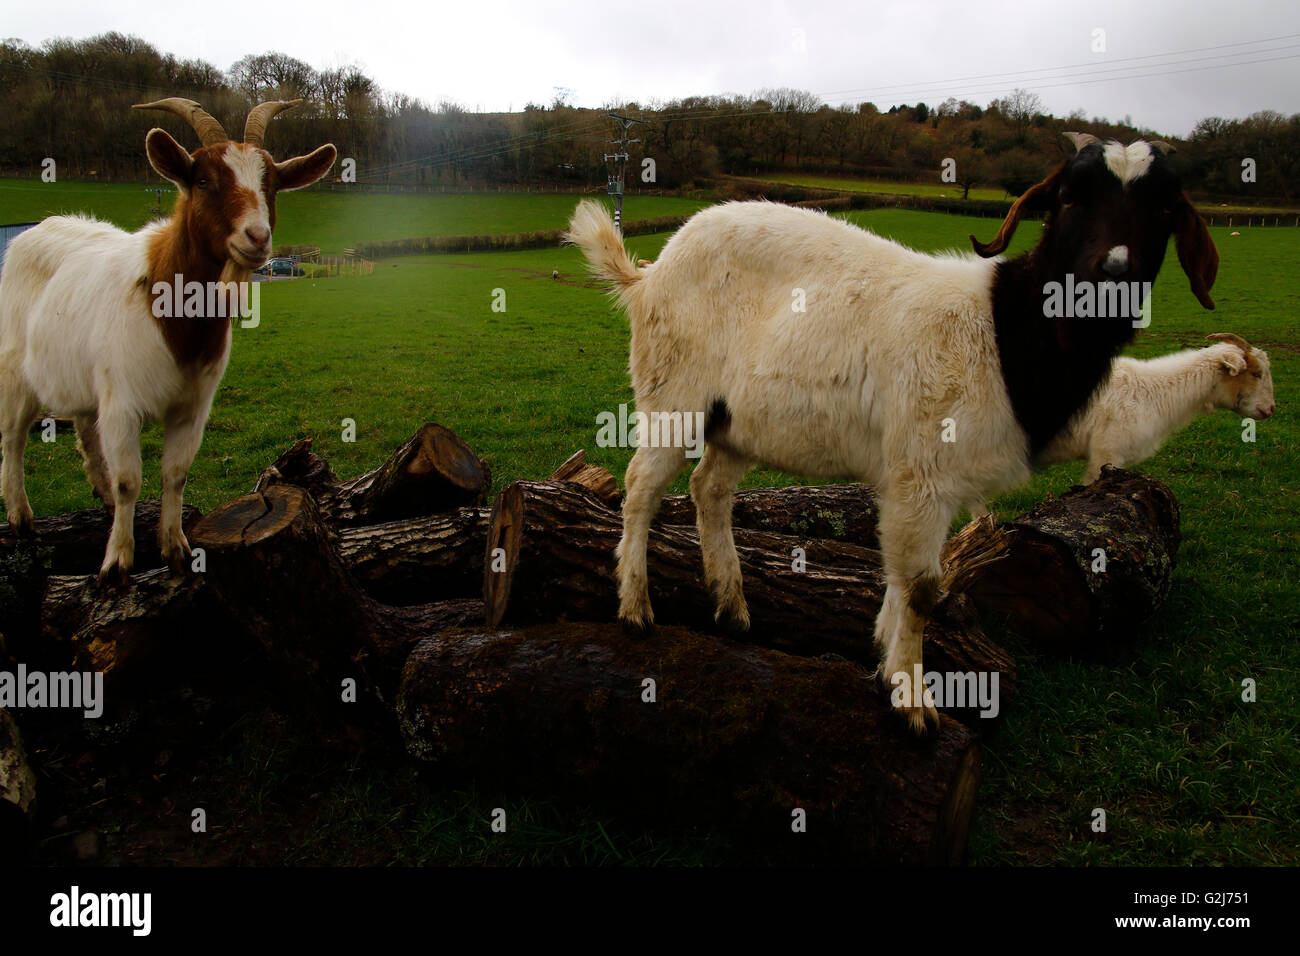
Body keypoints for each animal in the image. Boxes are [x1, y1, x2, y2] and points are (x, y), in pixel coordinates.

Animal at [0, 98, 336, 583]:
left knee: (85, 429)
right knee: (13, 437)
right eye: (204, 180)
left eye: (271, 184)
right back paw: (20, 516)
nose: (257, 237)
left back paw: (100, 499)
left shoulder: (192, 406)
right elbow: (129, 481)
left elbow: (175, 473)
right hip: (15, 373)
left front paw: (175, 550)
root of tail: (37, 229)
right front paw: (116, 564)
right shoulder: (123, 402)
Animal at [566, 132, 1219, 733]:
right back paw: (636, 607)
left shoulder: (920, 480)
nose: (1111, 277)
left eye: (1165, 207)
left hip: (737, 421)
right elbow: (924, 588)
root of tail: (647, 274)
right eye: (1068, 196)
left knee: (709, 489)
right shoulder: (921, 469)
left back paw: (731, 606)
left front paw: (886, 653)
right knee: (642, 487)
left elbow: (905, 578)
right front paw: (913, 701)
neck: (1004, 333)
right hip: (672, 394)